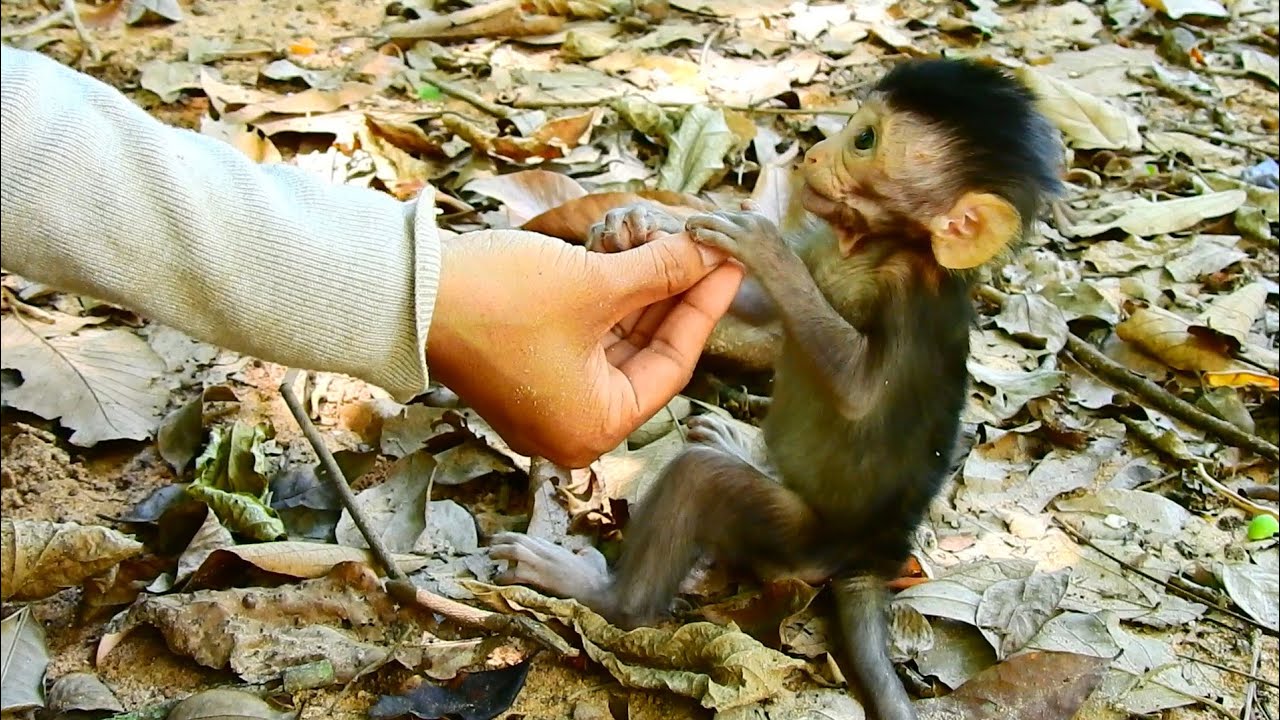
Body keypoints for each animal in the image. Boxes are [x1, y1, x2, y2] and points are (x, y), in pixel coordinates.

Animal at [490, 58, 1063, 720]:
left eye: (865, 139)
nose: (812, 153)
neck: (873, 244)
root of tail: (872, 558)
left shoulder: (911, 297)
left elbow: (861, 392)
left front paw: (761, 243)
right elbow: (763, 306)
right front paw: (640, 223)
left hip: (799, 547)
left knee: (704, 483)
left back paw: (602, 594)